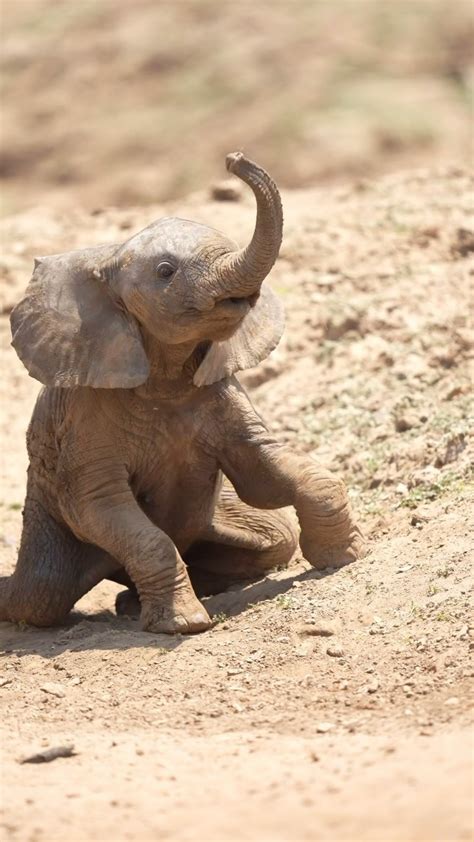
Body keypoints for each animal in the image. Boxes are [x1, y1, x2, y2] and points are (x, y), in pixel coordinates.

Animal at [0, 152, 364, 635]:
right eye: (165, 272)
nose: (233, 158)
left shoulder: (220, 391)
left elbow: (264, 473)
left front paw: (346, 557)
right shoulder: (85, 414)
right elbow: (98, 504)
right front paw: (184, 625)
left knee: (278, 538)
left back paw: (133, 604)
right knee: (39, 595)